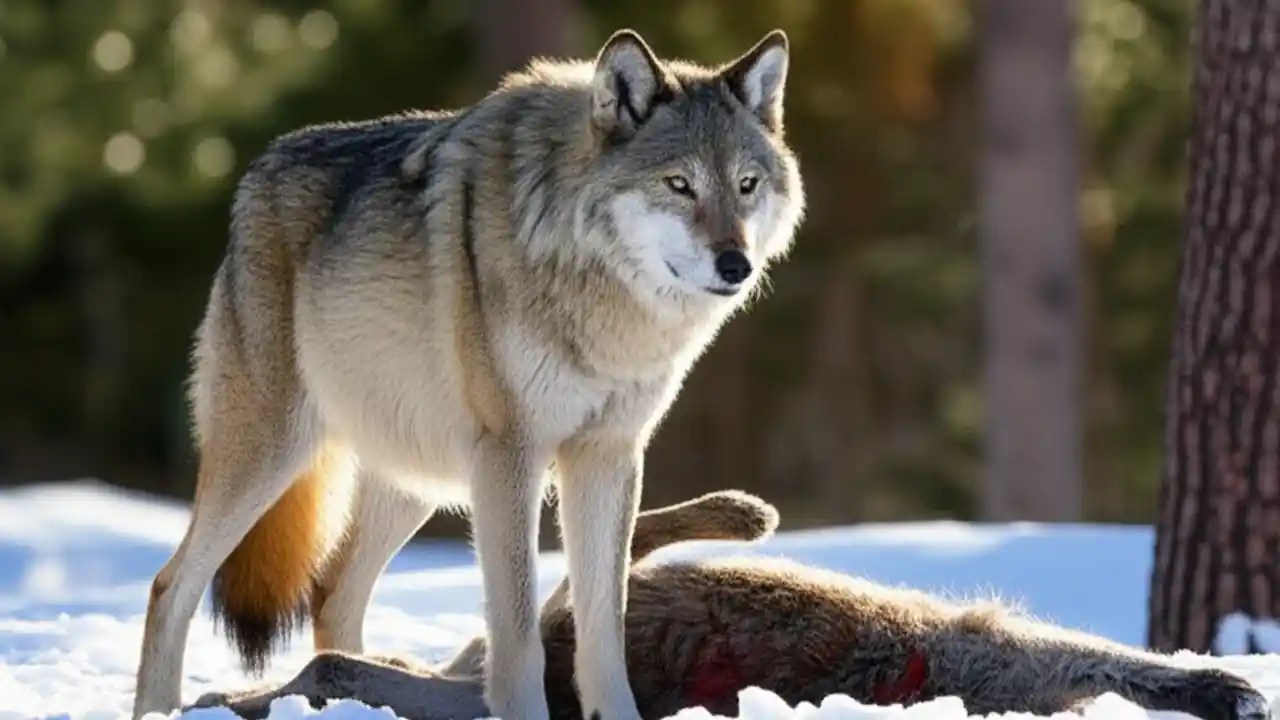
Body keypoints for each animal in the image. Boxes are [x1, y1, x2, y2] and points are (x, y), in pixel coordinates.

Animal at [131, 27, 804, 720]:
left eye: (746, 184)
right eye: (679, 184)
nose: (736, 264)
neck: (595, 293)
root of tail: (255, 176)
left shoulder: (608, 455)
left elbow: (603, 631)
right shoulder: (511, 454)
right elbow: (518, 636)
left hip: (414, 479)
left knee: (333, 596)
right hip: (273, 454)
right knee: (170, 586)